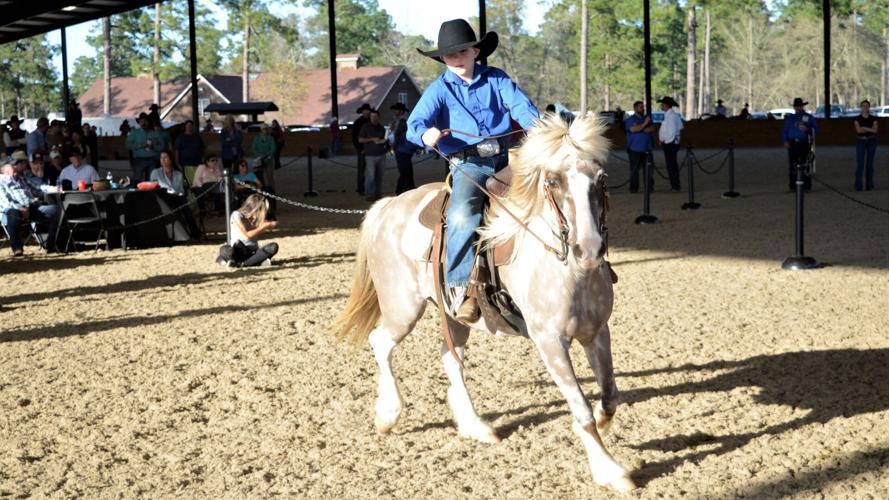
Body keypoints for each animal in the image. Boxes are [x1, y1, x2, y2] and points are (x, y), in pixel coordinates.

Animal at [331, 114, 635, 492]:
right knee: (381, 342)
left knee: (450, 359)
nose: (588, 250)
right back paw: (388, 414)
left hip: (451, 314)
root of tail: (387, 207)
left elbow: (609, 396)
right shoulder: (550, 341)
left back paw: (474, 425)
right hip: (402, 307)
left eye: (601, 179)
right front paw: (609, 469)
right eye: (552, 181)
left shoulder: (596, 331)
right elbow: (580, 408)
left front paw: (603, 425)